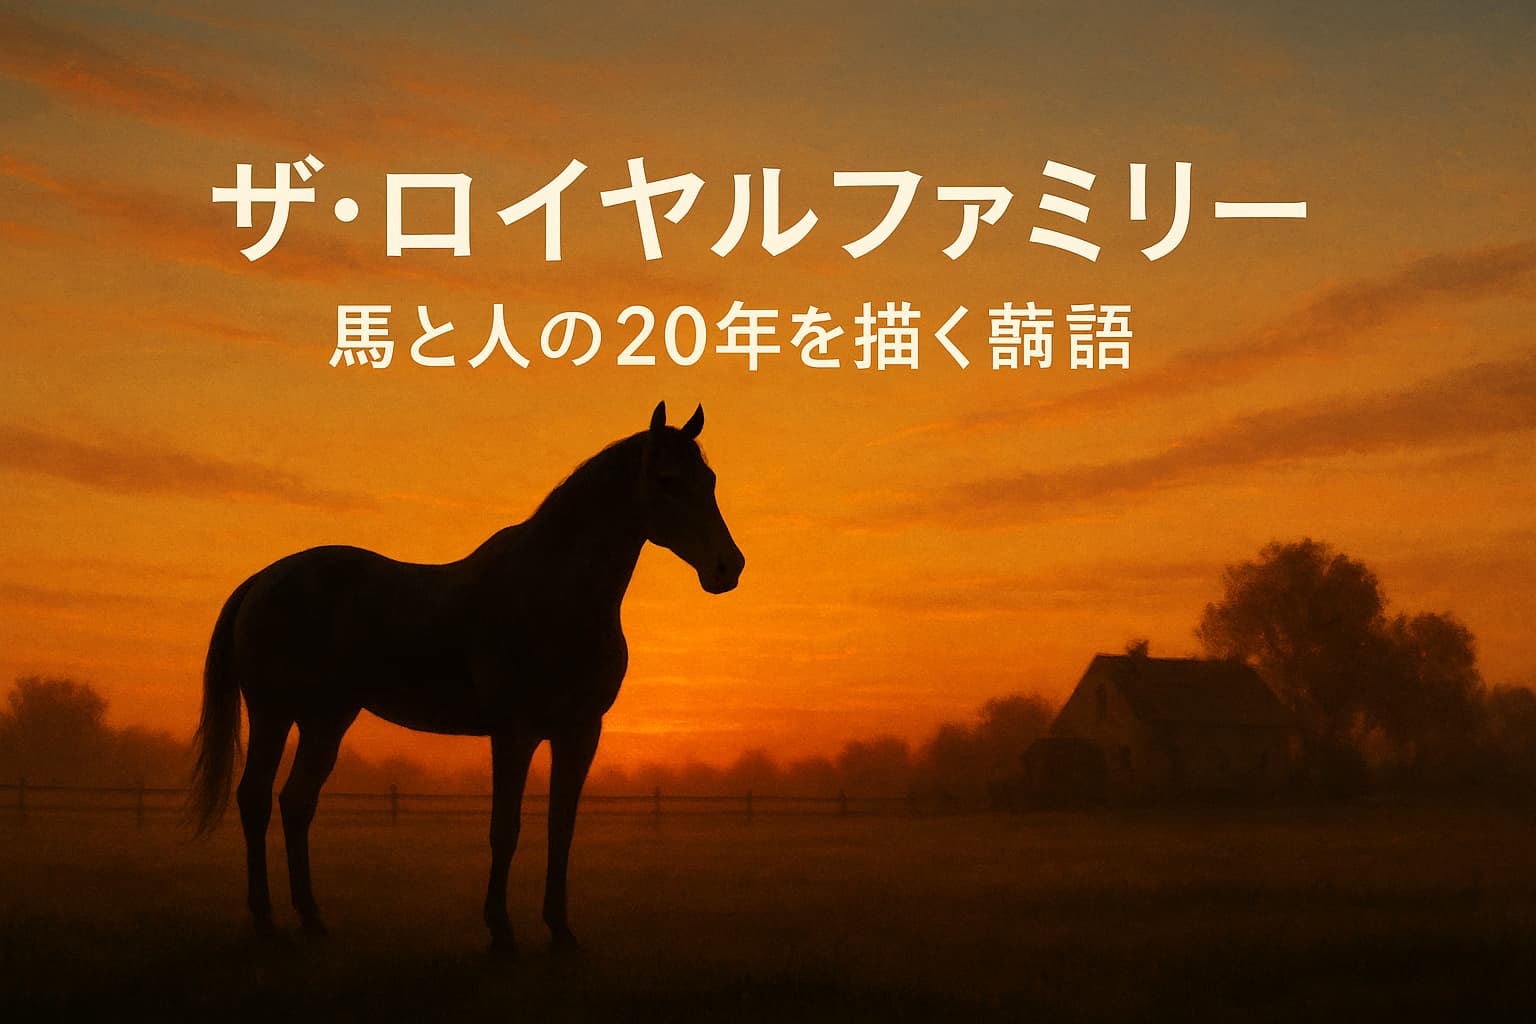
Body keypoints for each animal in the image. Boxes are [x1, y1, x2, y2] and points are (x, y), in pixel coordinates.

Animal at [189, 401, 744, 952]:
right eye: (668, 481)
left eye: (710, 479)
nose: (728, 567)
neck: (553, 594)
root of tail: (264, 579)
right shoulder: (514, 733)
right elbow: (505, 828)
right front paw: (501, 930)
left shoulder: (580, 733)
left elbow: (560, 828)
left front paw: (561, 929)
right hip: (273, 713)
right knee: (255, 799)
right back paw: (265, 920)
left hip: (326, 720)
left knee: (296, 802)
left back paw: (311, 918)